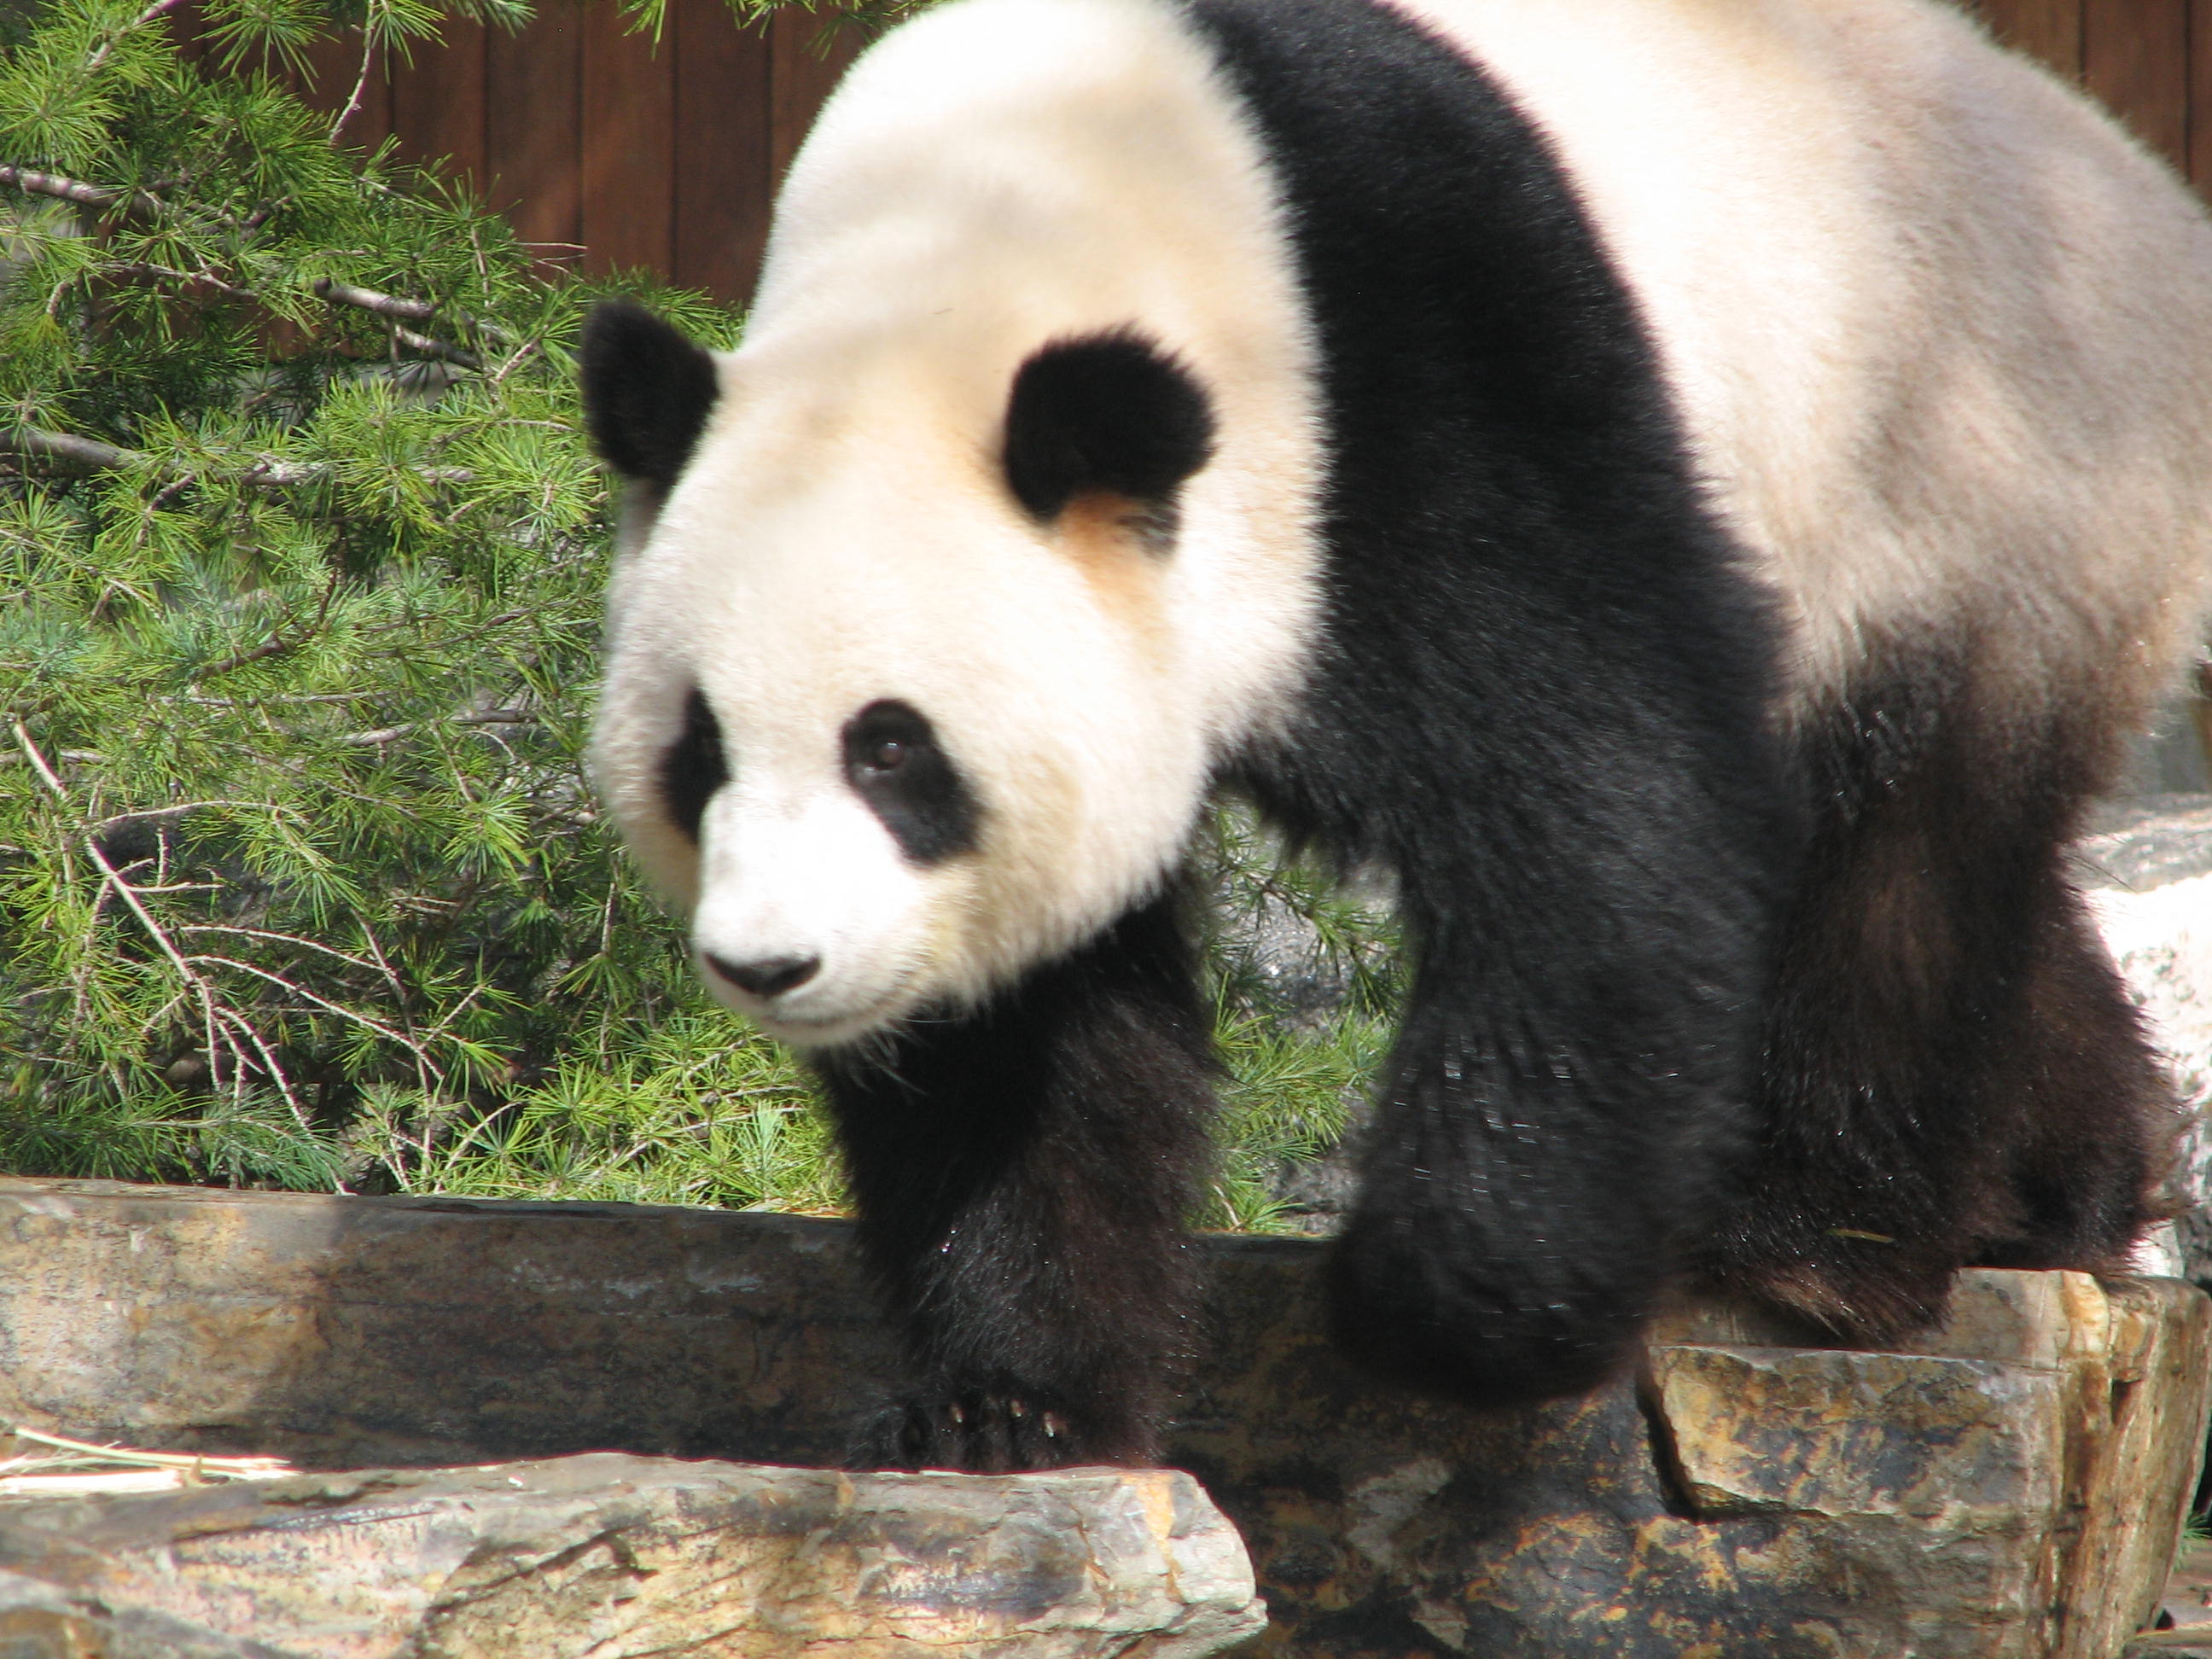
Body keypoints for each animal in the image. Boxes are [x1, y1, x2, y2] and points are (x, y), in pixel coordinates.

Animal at [580, 0, 2212, 1471]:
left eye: (892, 751)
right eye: (699, 753)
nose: (773, 965)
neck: (988, 226)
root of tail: (2139, 187)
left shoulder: (1416, 368)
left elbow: (1598, 803)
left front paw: (1453, 1307)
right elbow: (1021, 1036)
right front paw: (1005, 1405)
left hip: (1968, 479)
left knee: (1898, 858)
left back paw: (1809, 1239)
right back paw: (2074, 1181)